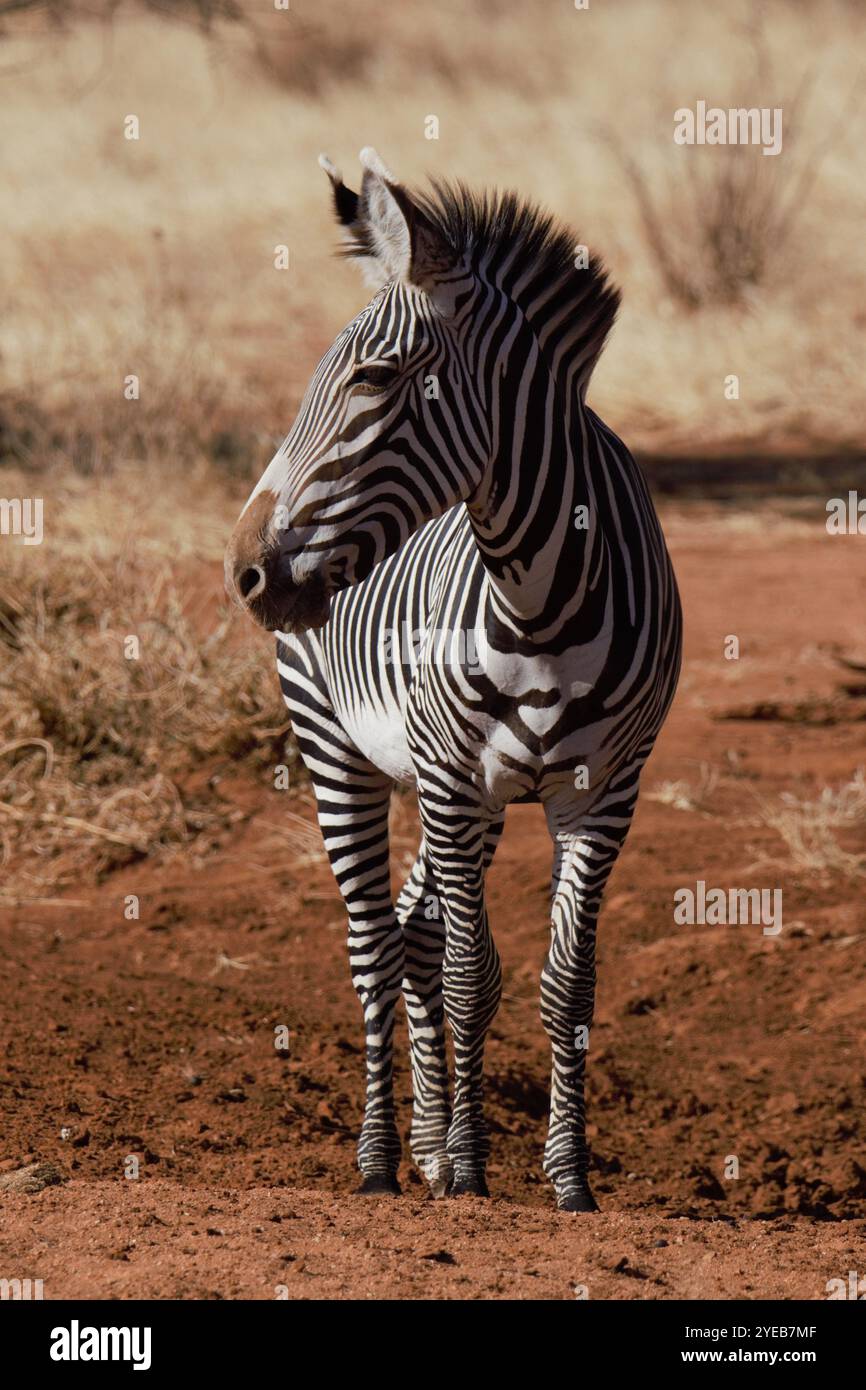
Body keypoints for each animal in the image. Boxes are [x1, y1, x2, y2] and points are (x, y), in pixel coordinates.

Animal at [225, 148, 682, 1212]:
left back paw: (428, 1146)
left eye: (376, 377)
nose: (248, 574)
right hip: (345, 754)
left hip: (464, 794)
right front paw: (472, 1171)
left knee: (414, 936)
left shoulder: (604, 795)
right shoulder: (450, 778)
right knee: (376, 951)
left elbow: (564, 983)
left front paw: (566, 1180)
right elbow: (473, 977)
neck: (543, 598)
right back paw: (385, 1158)